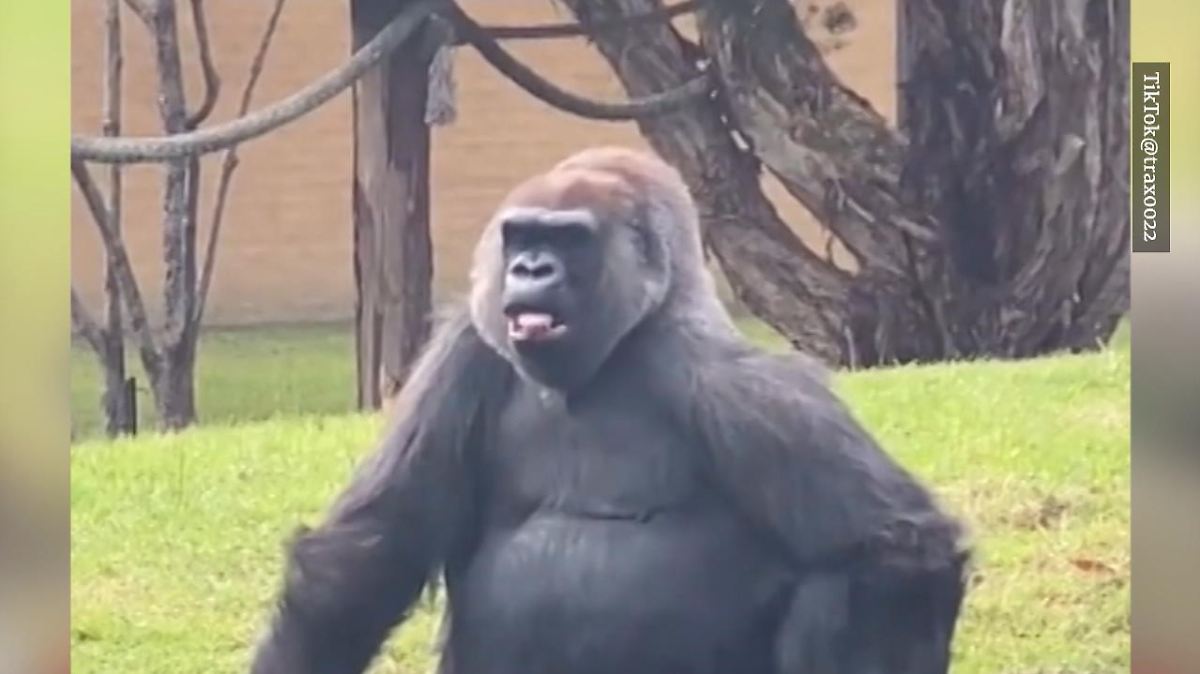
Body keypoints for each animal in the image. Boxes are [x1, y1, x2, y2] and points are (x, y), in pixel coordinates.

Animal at [249, 146, 971, 674]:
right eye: (520, 235)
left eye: (568, 240)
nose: (530, 268)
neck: (618, 347)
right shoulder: (465, 351)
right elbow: (369, 553)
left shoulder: (740, 382)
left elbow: (899, 550)